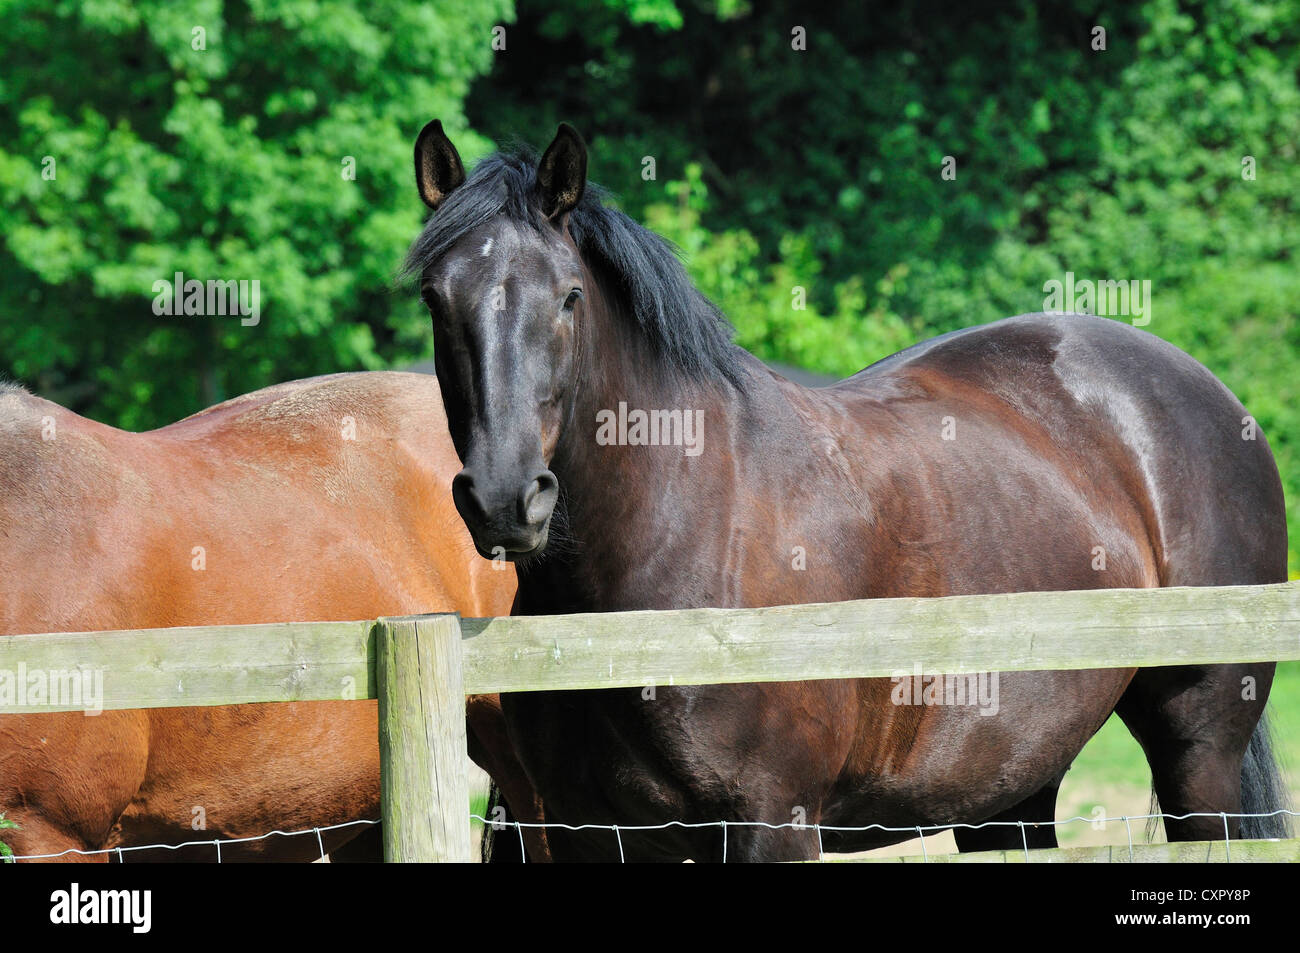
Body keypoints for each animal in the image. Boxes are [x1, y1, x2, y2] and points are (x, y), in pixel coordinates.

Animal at [405, 120, 1291, 862]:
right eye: (435, 299)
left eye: (568, 297)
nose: (505, 498)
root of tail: (1217, 401)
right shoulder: (585, 830)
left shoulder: (772, 823)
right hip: (1010, 787)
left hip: (1199, 756)